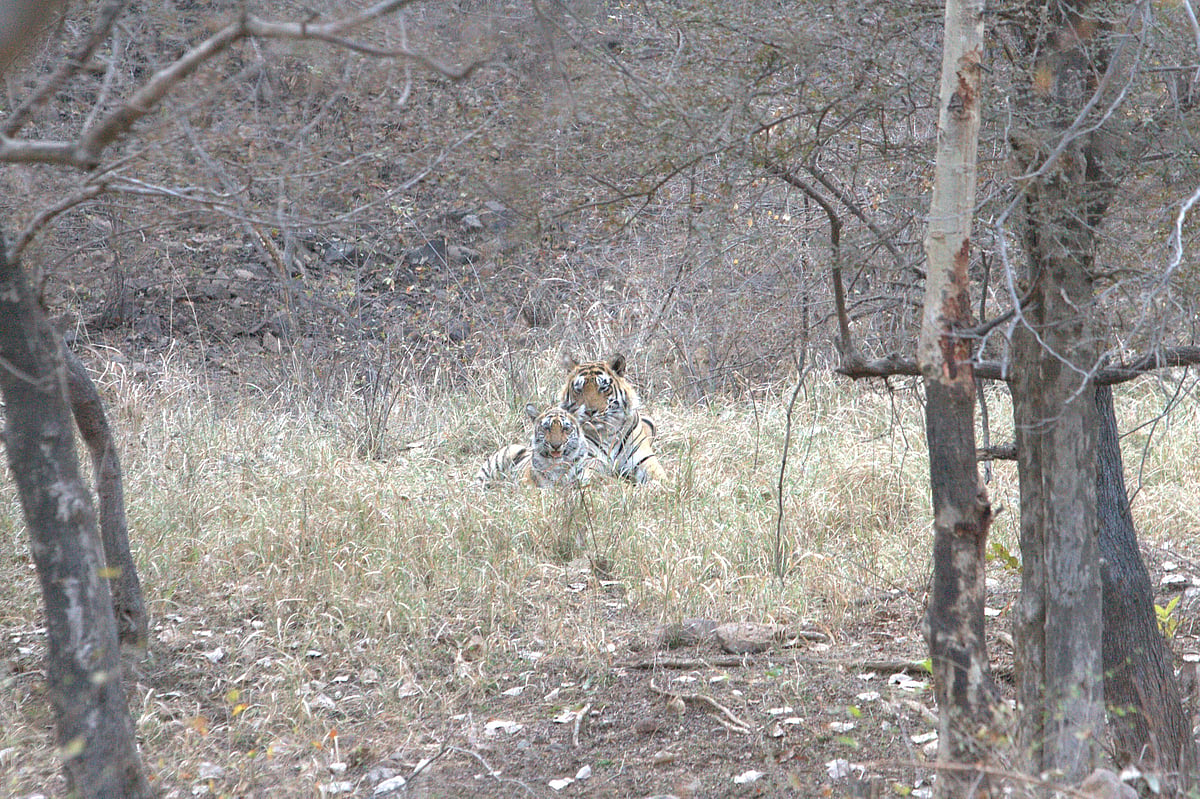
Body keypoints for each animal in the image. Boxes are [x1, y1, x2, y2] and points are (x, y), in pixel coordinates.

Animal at [558, 354, 666, 485]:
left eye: (603, 387)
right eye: (578, 389)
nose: (589, 411)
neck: (607, 432)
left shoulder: (644, 459)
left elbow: (659, 476)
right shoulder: (589, 462)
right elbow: (608, 481)